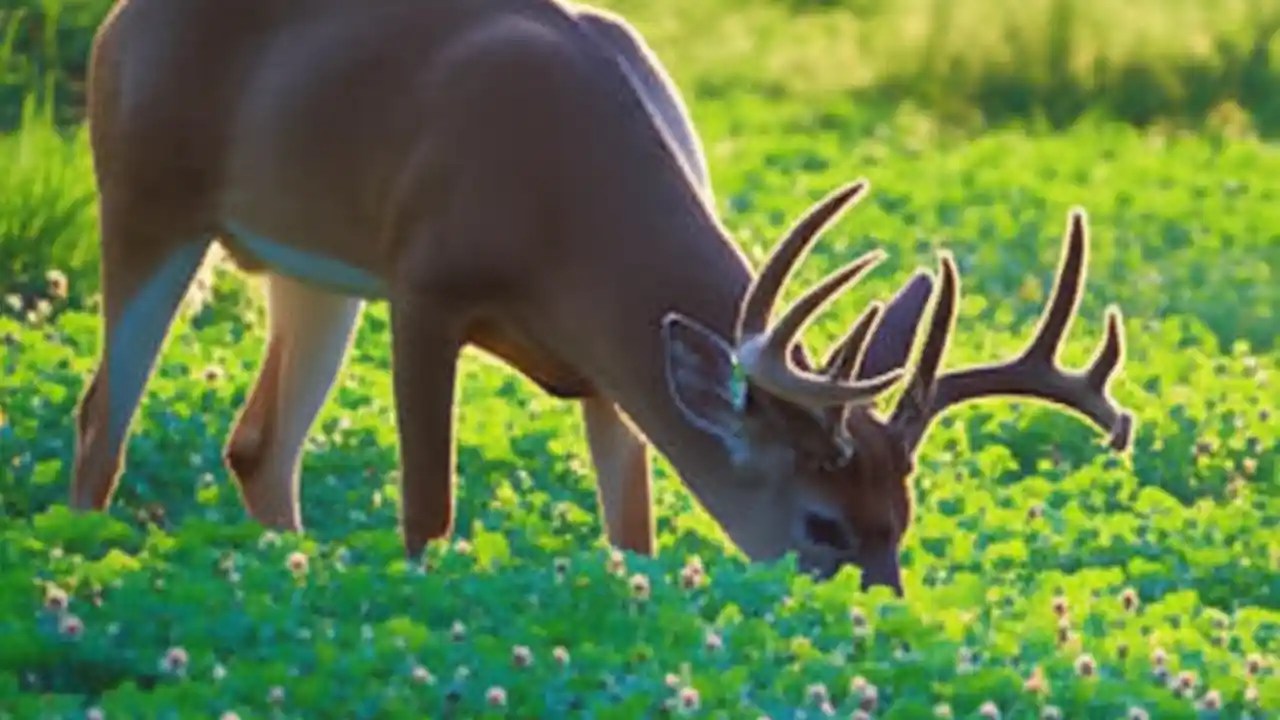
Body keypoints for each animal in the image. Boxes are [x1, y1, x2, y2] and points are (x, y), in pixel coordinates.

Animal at [71, 0, 1133, 596]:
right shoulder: (425, 285)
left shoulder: (612, 368)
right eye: (822, 525)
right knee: (101, 419)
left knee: (260, 447)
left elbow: (635, 537)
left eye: (901, 521)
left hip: (313, 274)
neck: (567, 199)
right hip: (145, 193)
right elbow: (428, 511)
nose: (883, 615)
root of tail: (119, 17)